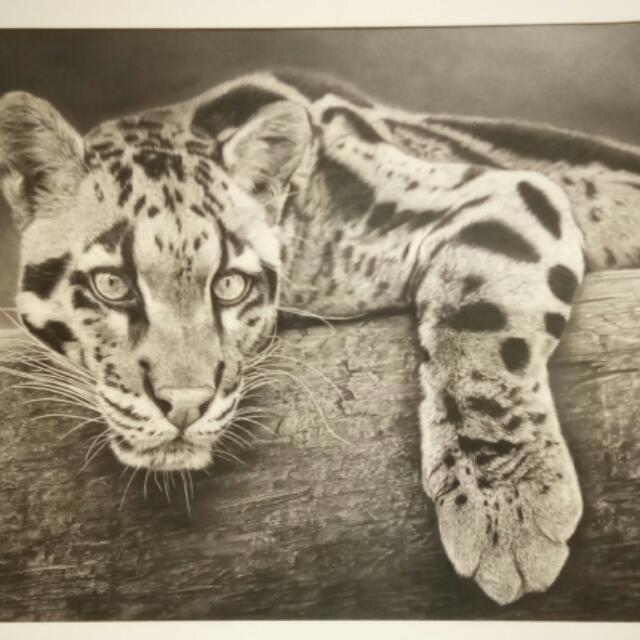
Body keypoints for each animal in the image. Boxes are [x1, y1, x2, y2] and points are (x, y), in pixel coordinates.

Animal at [1, 69, 639, 605]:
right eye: (112, 284)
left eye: (230, 285)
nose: (184, 404)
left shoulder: (495, 194)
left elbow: (482, 324)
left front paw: (507, 509)